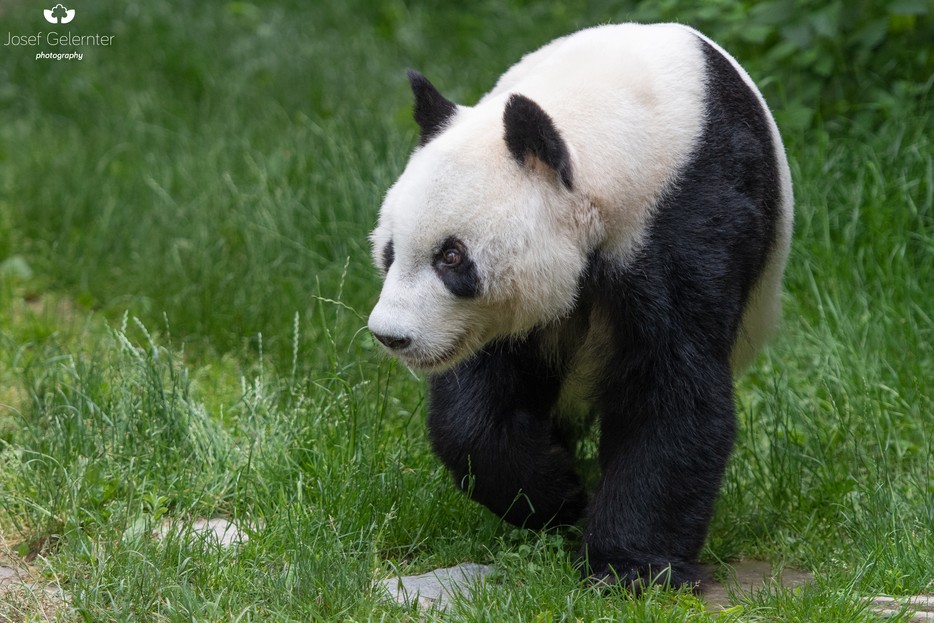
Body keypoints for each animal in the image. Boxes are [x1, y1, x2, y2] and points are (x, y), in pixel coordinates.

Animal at [368, 23, 793, 590]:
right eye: (390, 251)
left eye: (451, 256)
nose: (391, 335)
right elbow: (477, 409)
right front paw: (558, 494)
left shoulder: (691, 214)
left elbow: (671, 390)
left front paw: (628, 567)